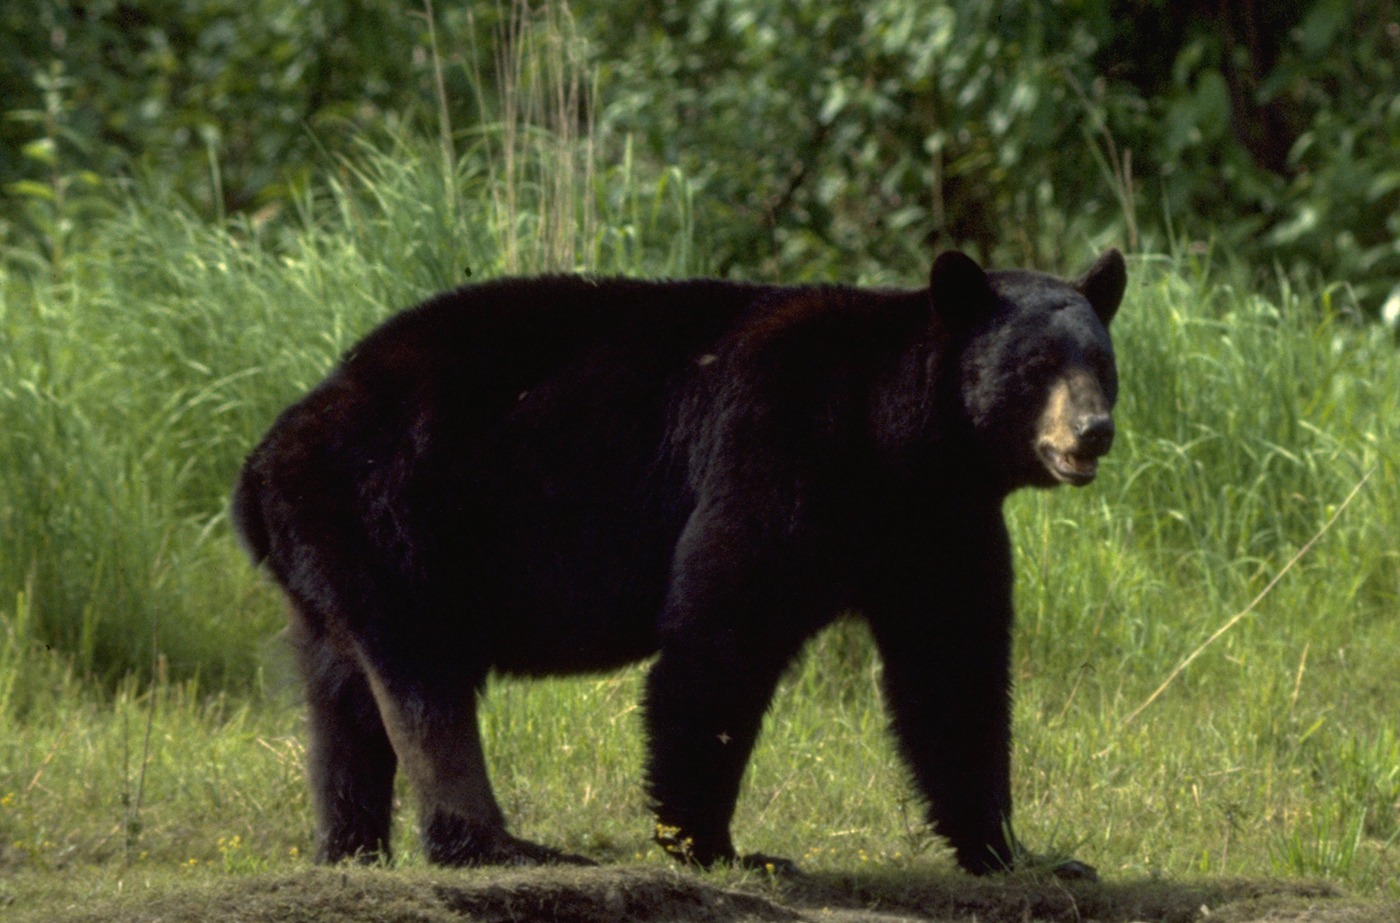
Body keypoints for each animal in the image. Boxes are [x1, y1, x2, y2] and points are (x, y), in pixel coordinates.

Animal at [231, 247, 1126, 877]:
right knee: (422, 681)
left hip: (330, 561)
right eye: (1036, 366)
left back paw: (351, 842)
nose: (1093, 431)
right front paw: (716, 844)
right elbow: (721, 626)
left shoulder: (938, 524)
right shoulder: (779, 441)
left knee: (341, 698)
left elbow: (953, 667)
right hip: (394, 517)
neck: (901, 437)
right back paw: (499, 844)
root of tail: (265, 456)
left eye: (1102, 362)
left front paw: (1025, 854)